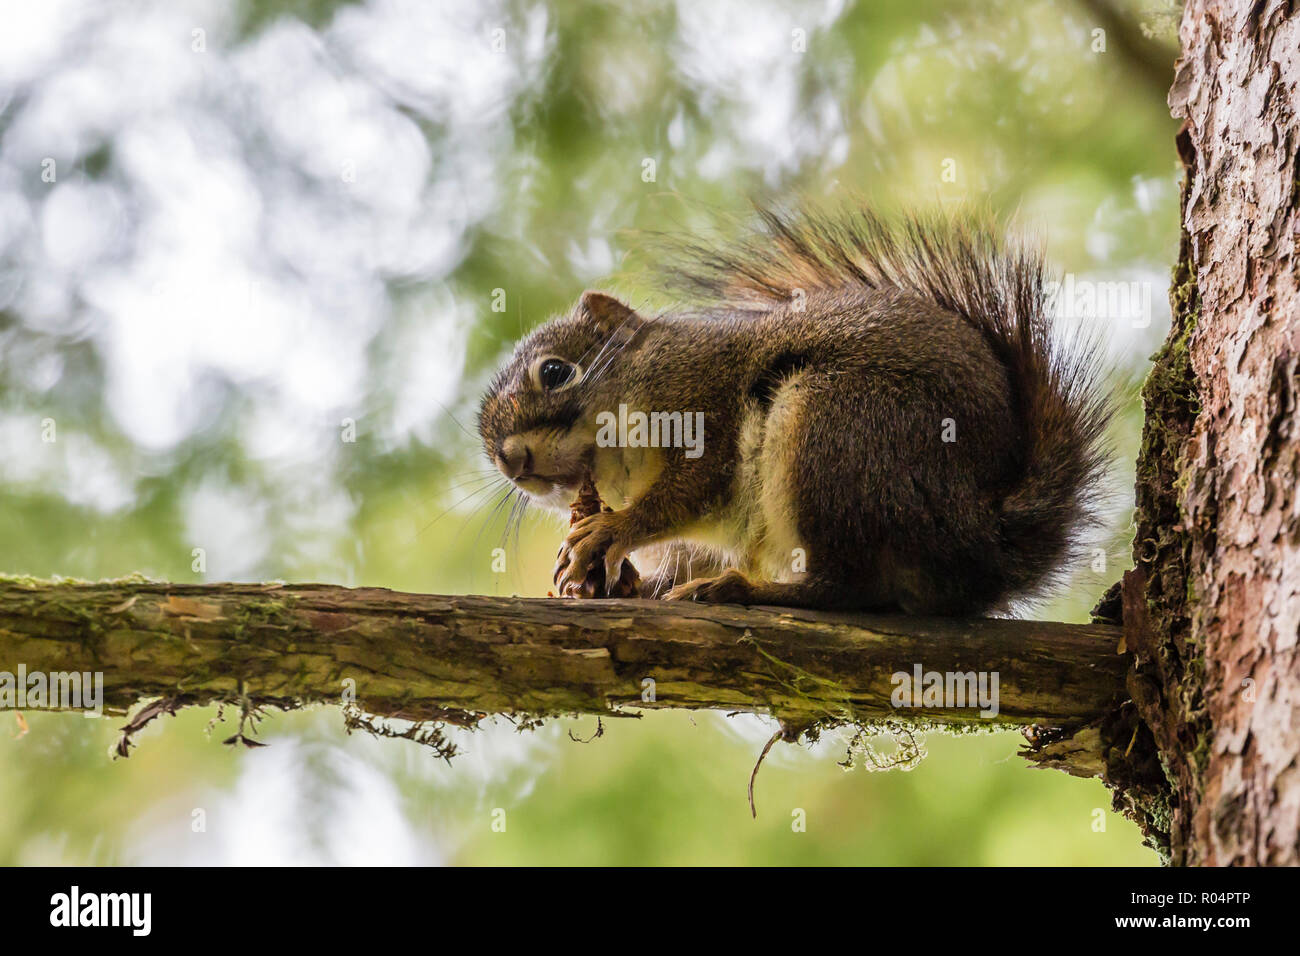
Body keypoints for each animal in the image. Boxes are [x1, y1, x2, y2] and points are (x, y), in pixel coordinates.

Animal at [477, 205, 1111, 614]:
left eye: (555, 372)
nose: (511, 462)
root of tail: (985, 539)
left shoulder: (702, 403)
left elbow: (688, 491)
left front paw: (610, 533)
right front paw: (627, 579)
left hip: (832, 430)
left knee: (848, 589)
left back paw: (744, 590)